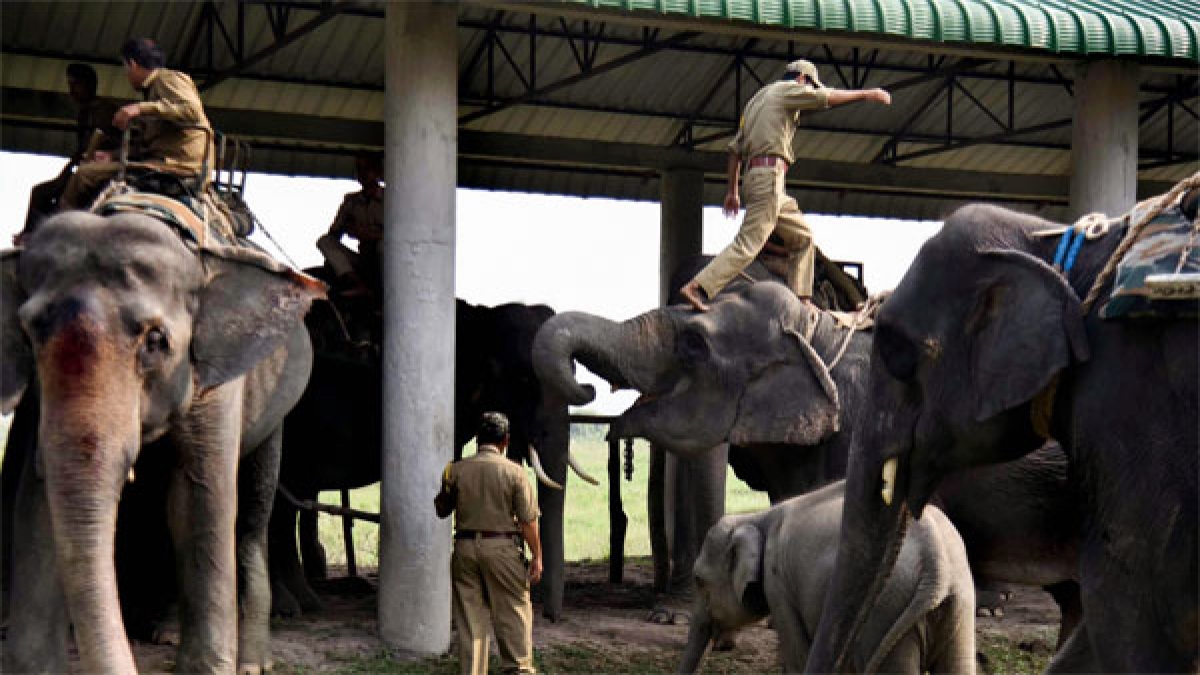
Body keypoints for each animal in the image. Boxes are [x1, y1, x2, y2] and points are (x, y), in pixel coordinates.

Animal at [1, 210, 322, 673]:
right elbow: (39, 501)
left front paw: (207, 669)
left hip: (276, 402)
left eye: (156, 341)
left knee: (251, 512)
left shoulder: (215, 379)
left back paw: (251, 661)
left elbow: (199, 496)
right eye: (29, 335)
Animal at [680, 481, 975, 674]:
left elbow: (797, 657)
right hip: (959, 601)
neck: (755, 516)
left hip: (887, 605)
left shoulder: (778, 583)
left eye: (698, 580)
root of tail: (937, 562)